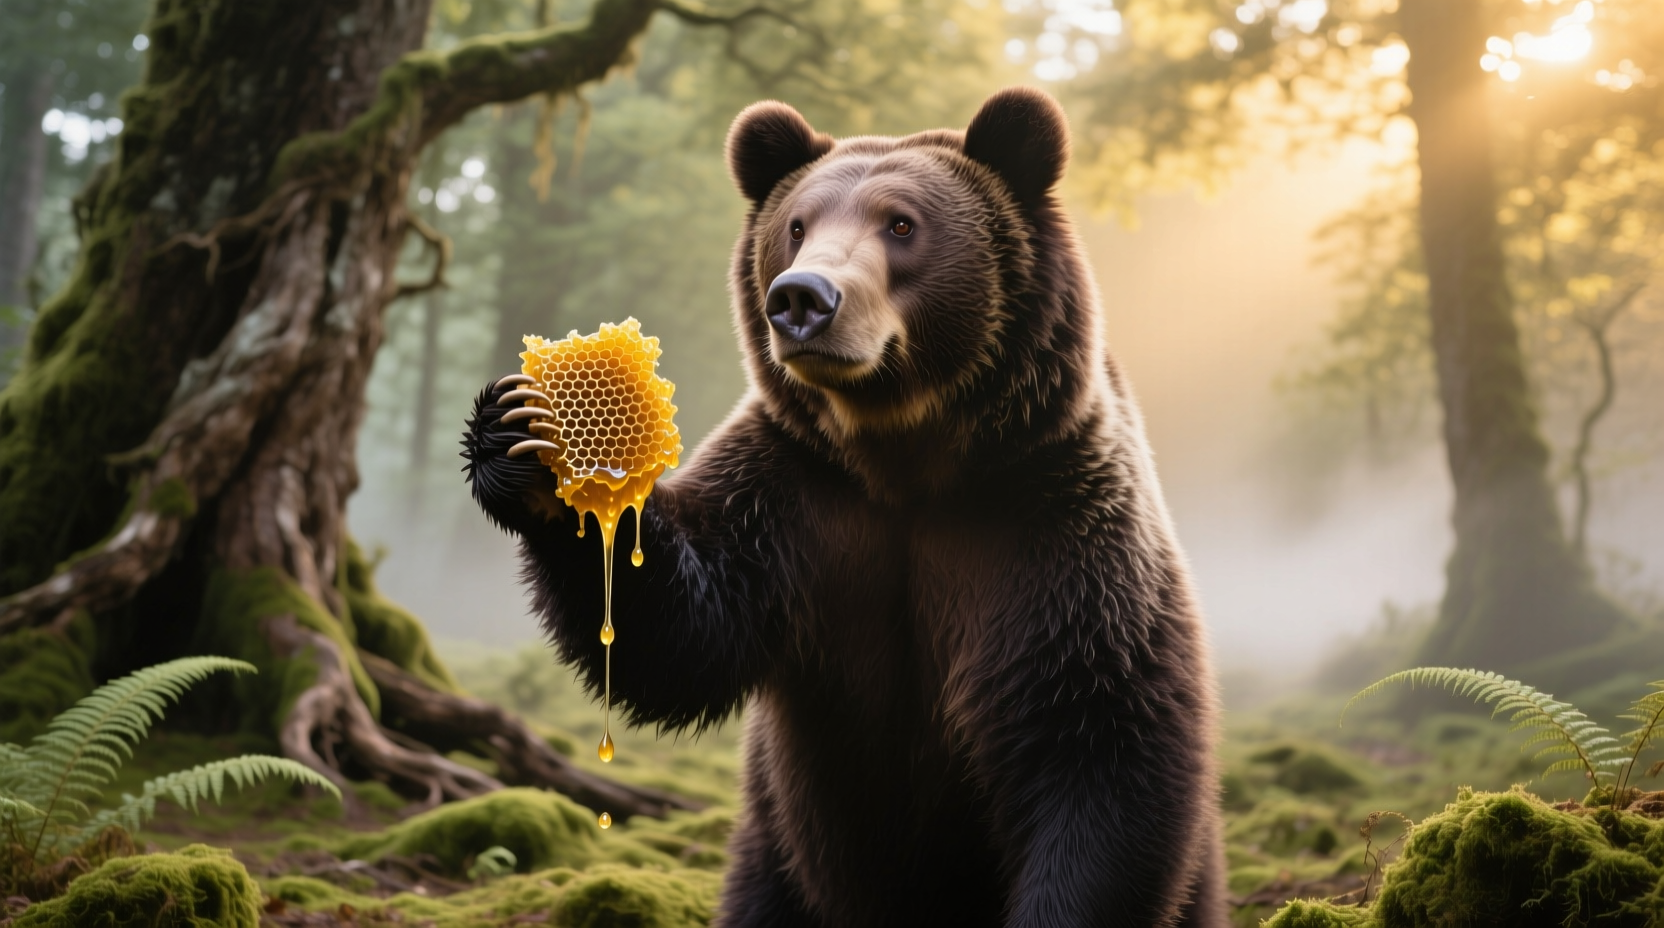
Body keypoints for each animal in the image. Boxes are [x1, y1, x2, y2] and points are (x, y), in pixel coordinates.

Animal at [462, 87, 1225, 928]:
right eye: (797, 225)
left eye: (901, 223)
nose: (800, 298)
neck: (902, 458)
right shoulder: (799, 502)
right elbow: (686, 634)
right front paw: (524, 437)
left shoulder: (1045, 516)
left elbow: (1098, 735)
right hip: (778, 857)